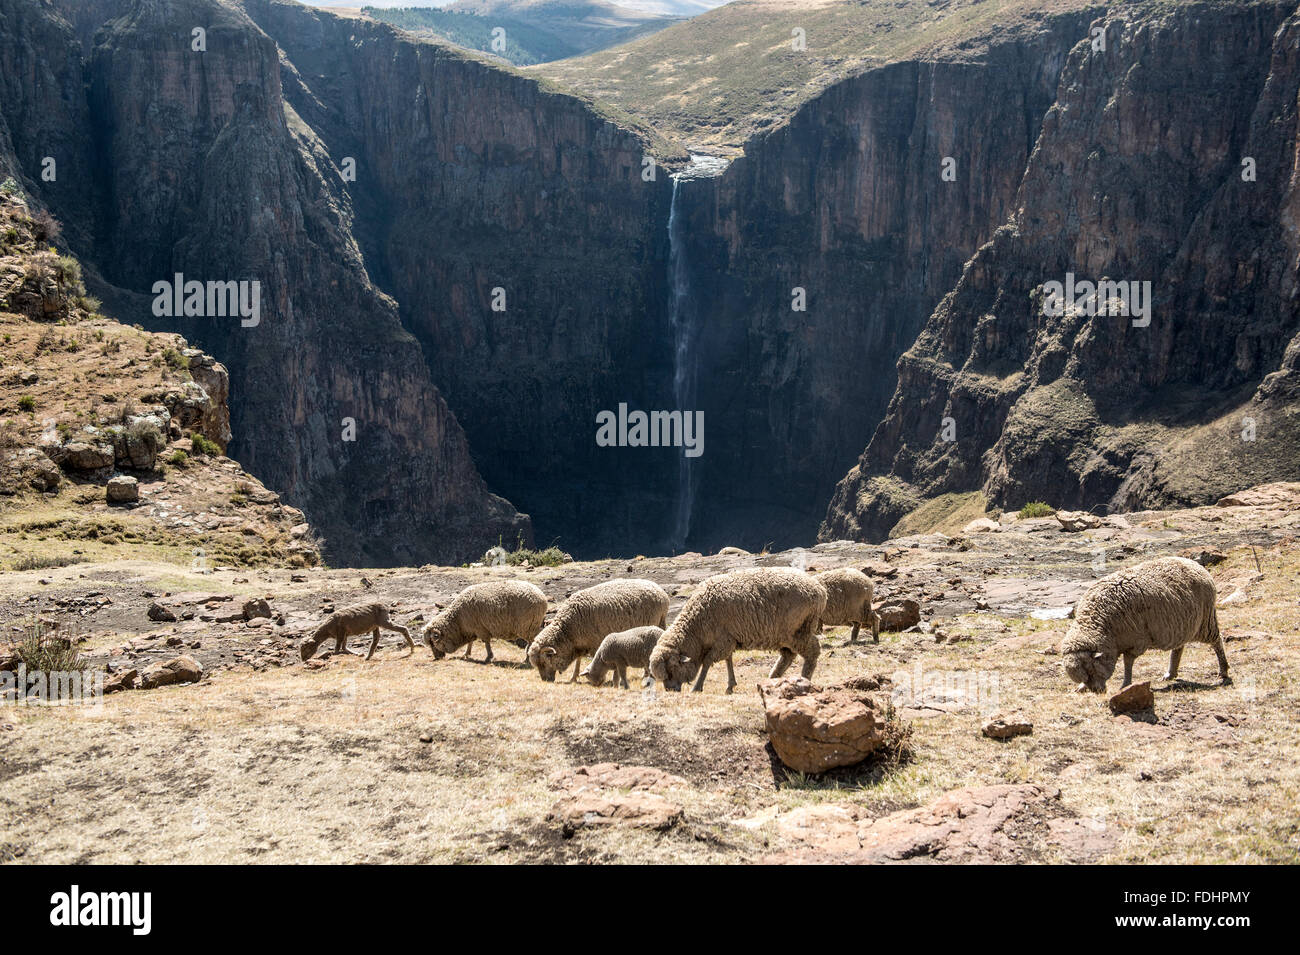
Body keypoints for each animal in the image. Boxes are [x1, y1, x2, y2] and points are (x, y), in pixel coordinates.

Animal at [527, 579, 669, 682]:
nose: (545, 680)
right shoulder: (581, 643)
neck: (567, 632)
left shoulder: (595, 641)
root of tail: (662, 593)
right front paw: (574, 678)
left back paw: (646, 675)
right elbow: (578, 660)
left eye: (543, 663)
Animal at [648, 567, 828, 694]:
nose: (669, 690)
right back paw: (772, 678)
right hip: (783, 636)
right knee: (787, 656)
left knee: (812, 651)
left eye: (671, 669)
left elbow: (707, 662)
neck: (696, 629)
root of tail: (820, 590)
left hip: (799, 629)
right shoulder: (729, 639)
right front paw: (730, 685)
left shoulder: (722, 640)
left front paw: (697, 687)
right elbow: (728, 660)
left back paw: (804, 679)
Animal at [1061, 556, 1231, 693]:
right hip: (1182, 624)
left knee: (1217, 641)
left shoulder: (1137, 641)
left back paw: (1223, 671)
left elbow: (1128, 662)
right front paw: (1081, 688)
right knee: (1179, 647)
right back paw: (1170, 673)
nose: (1098, 691)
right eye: (1084, 676)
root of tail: (1197, 566)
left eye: (1091, 670)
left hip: (1205, 621)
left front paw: (1126, 684)